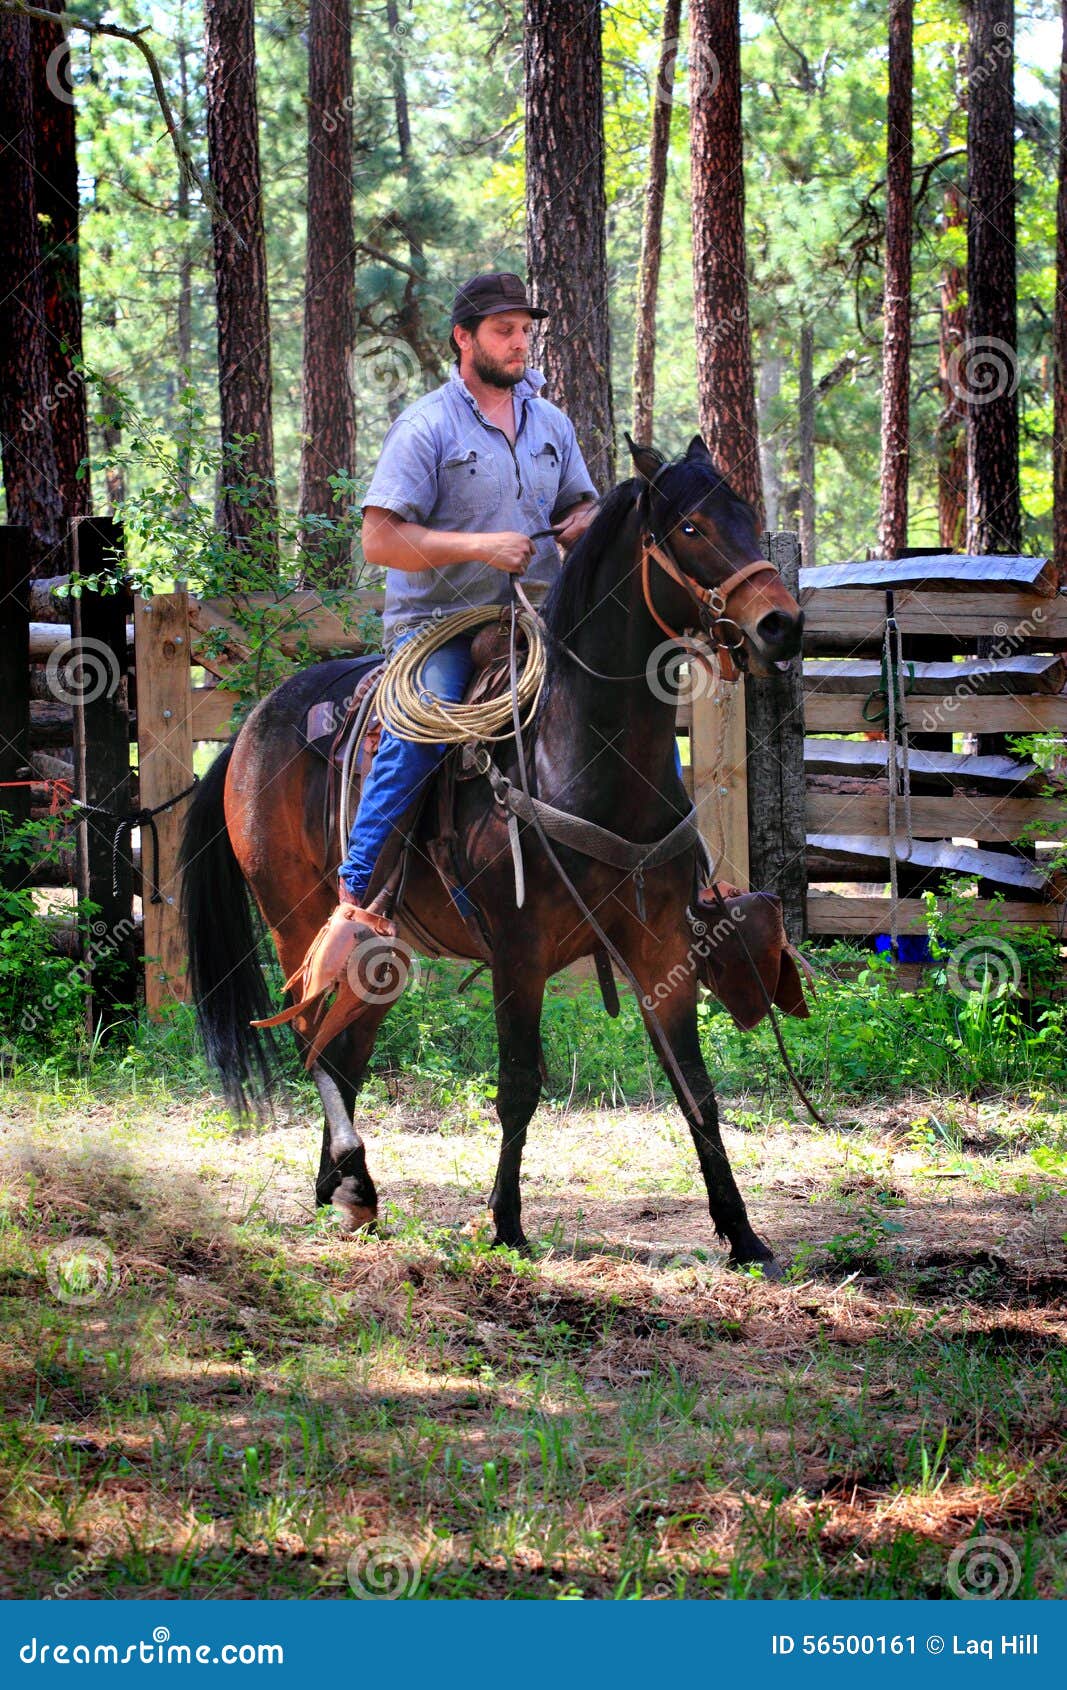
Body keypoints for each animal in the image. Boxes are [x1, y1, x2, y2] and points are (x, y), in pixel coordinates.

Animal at [179, 434, 804, 1274]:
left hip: (379, 951)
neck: (583, 756)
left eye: (745, 516)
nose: (779, 625)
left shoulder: (660, 946)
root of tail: (247, 729)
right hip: (295, 916)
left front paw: (742, 1235)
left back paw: (341, 1186)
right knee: (315, 1039)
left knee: (347, 1044)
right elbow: (518, 1085)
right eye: (691, 529)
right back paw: (350, 1175)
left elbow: (695, 1087)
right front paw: (505, 1224)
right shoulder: (518, 950)